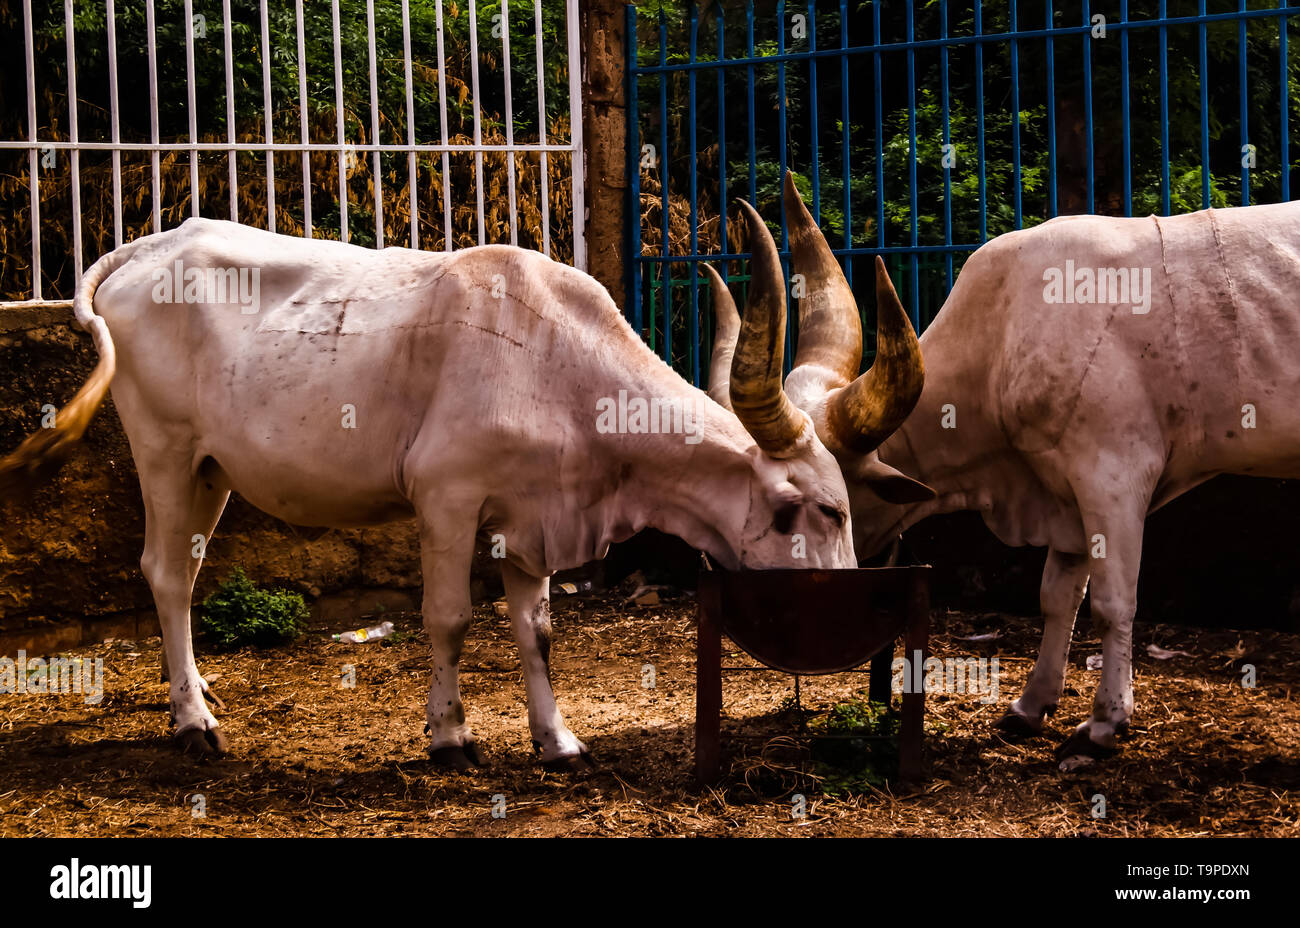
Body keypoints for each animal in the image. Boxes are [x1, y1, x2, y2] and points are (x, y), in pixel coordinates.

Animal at [0, 205, 884, 770]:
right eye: (806, 508)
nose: (843, 624)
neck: (561, 363)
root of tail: (149, 247)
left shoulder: (532, 519)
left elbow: (538, 630)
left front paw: (558, 743)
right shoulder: (448, 502)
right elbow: (450, 619)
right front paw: (451, 737)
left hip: (211, 471)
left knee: (179, 571)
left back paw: (194, 690)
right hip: (164, 451)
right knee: (165, 574)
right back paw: (193, 721)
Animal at [708, 171, 1300, 766]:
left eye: (827, 506)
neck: (1004, 333)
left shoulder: (1113, 479)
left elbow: (1112, 603)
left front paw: (1105, 723)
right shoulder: (1065, 495)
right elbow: (1058, 597)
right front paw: (1031, 707)